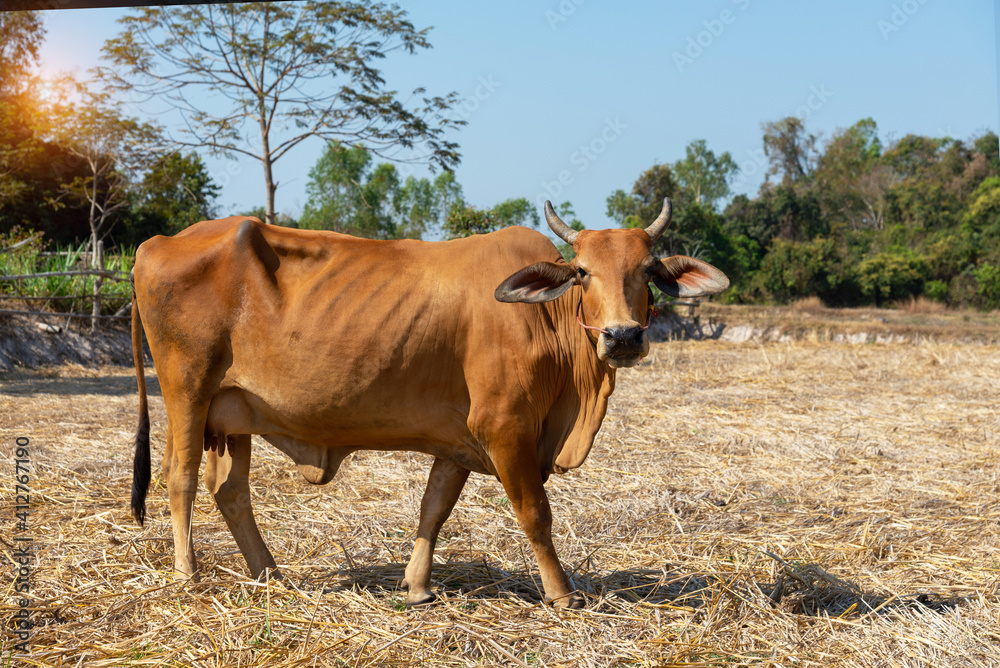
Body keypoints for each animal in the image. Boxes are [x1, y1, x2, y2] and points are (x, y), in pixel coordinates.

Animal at [128, 198, 728, 609]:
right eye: (582, 272)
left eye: (647, 271)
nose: (622, 336)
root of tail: (153, 243)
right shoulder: (505, 427)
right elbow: (535, 513)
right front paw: (562, 592)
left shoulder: (458, 438)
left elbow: (433, 508)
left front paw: (417, 587)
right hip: (188, 392)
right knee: (180, 478)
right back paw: (188, 574)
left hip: (232, 417)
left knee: (229, 490)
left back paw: (268, 572)